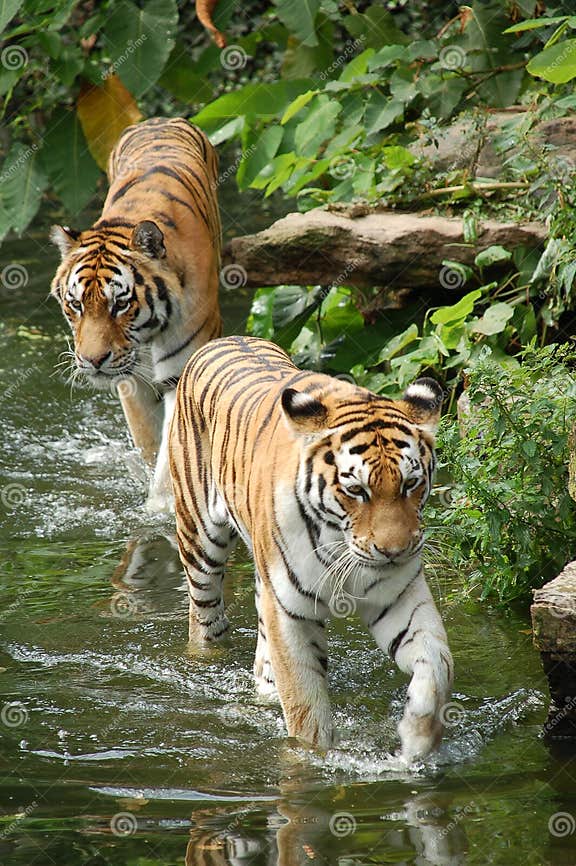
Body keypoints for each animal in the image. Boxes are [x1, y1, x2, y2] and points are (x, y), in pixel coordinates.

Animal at [50, 116, 221, 511]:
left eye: (121, 304)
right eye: (76, 304)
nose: (92, 361)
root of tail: (160, 119)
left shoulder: (180, 374)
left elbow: (171, 456)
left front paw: (160, 507)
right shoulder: (130, 381)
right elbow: (149, 443)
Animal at [169, 335, 453, 763]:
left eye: (410, 484)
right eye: (356, 490)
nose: (394, 550)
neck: (342, 544)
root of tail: (227, 338)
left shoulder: (399, 598)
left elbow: (437, 664)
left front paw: (417, 738)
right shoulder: (290, 613)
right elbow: (305, 705)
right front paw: (314, 759)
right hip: (200, 539)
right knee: (205, 616)